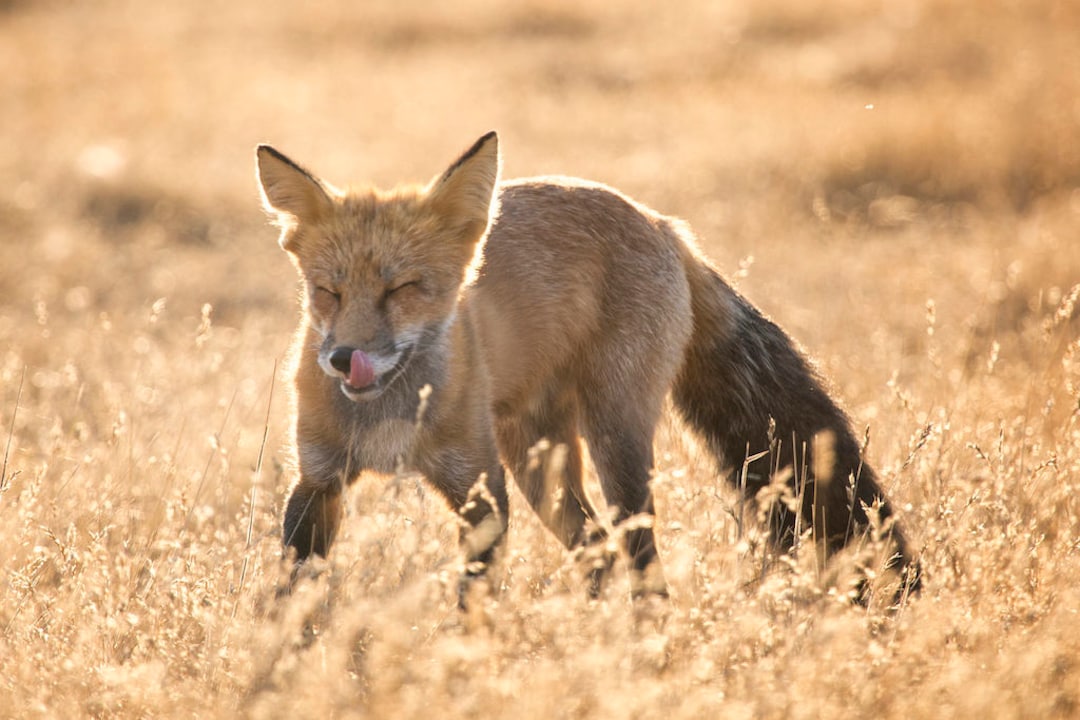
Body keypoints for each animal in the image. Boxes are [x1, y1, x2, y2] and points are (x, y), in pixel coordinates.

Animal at [256, 131, 921, 604]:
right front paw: (286, 667)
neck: (389, 418)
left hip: (610, 448)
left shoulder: (479, 490)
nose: (343, 358)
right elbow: (293, 597)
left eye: (404, 289)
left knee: (642, 562)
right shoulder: (318, 480)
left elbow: (471, 605)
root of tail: (661, 222)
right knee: (597, 549)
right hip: (540, 465)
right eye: (327, 292)